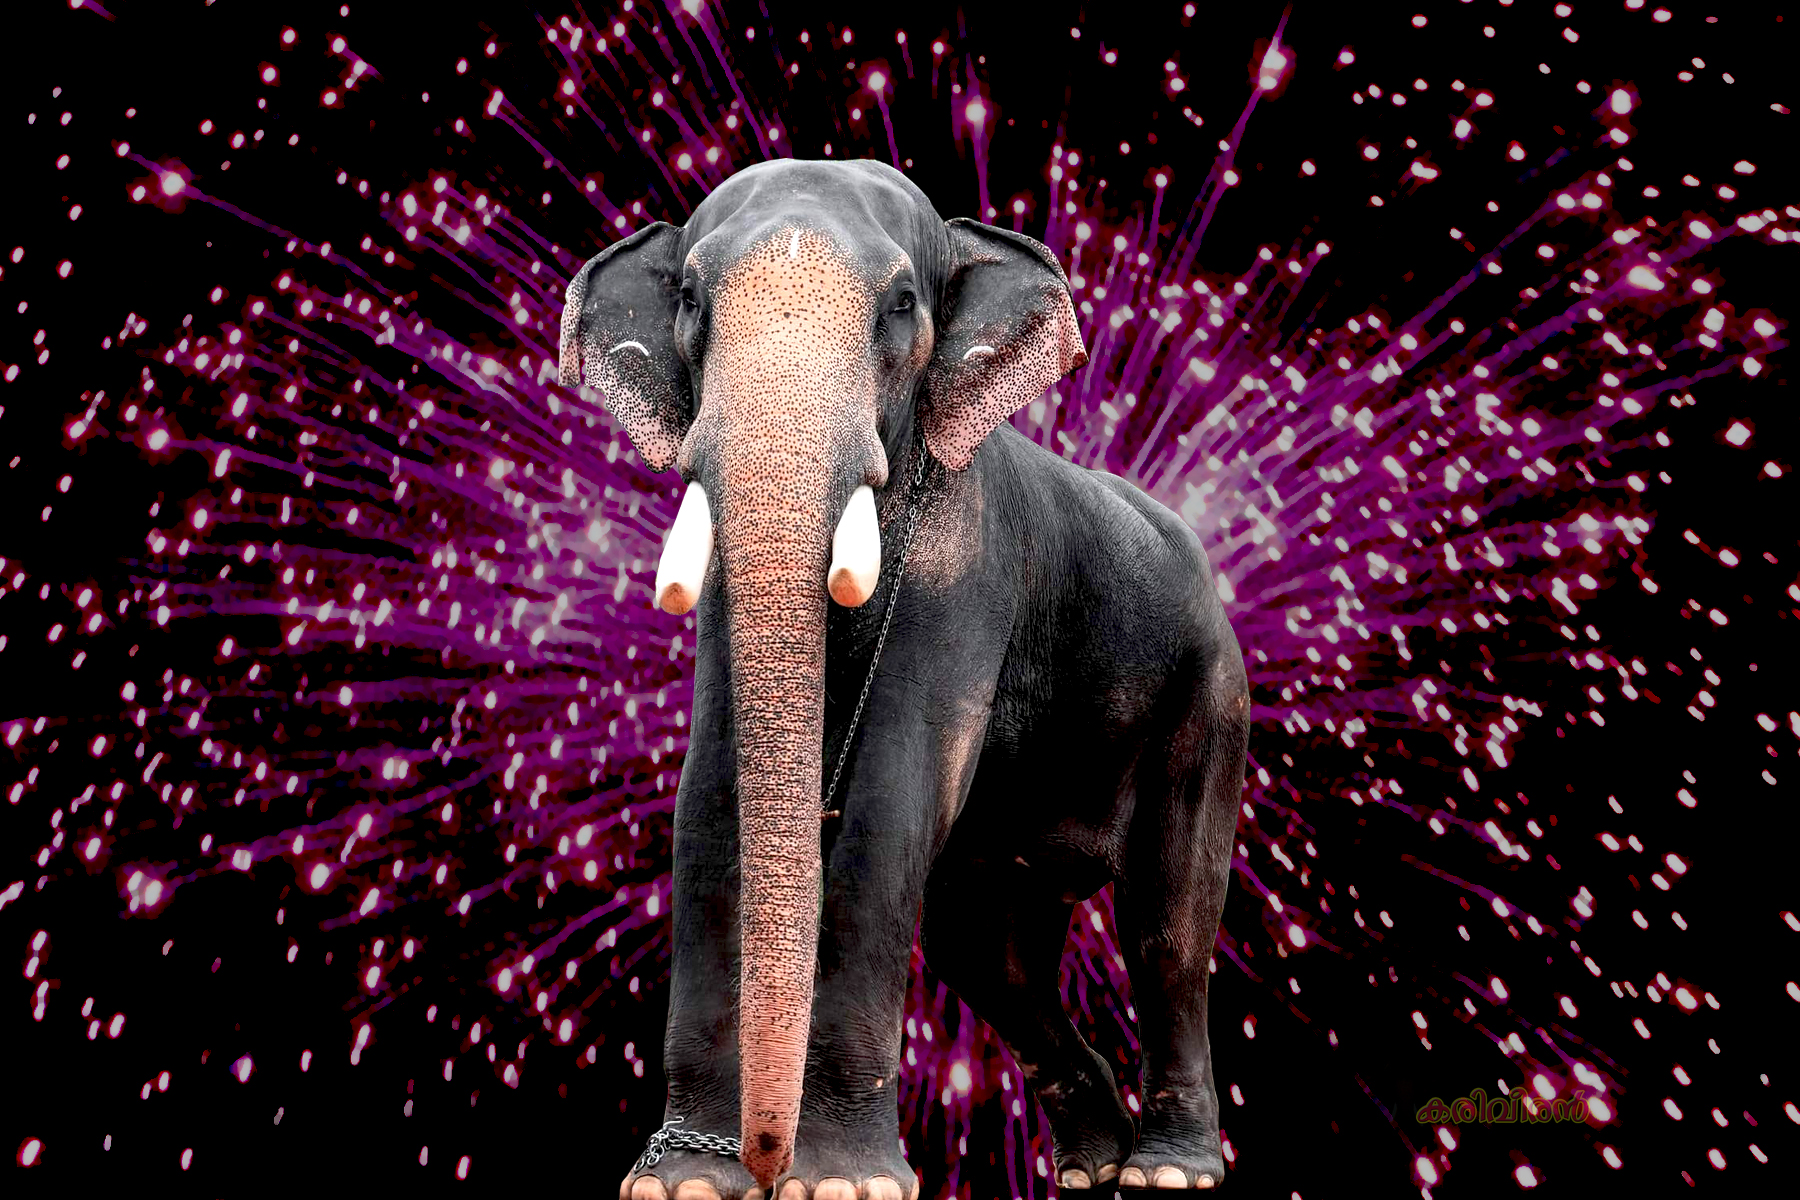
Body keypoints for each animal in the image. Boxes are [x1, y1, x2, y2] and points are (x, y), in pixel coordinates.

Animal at [559, 158, 1248, 1200]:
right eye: (687, 299)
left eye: (900, 306)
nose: (761, 1158)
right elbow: (708, 800)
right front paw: (683, 1183)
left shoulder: (964, 570)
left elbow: (893, 800)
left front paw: (844, 1184)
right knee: (988, 952)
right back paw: (1092, 1163)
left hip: (1207, 701)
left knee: (1167, 923)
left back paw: (1165, 1172)